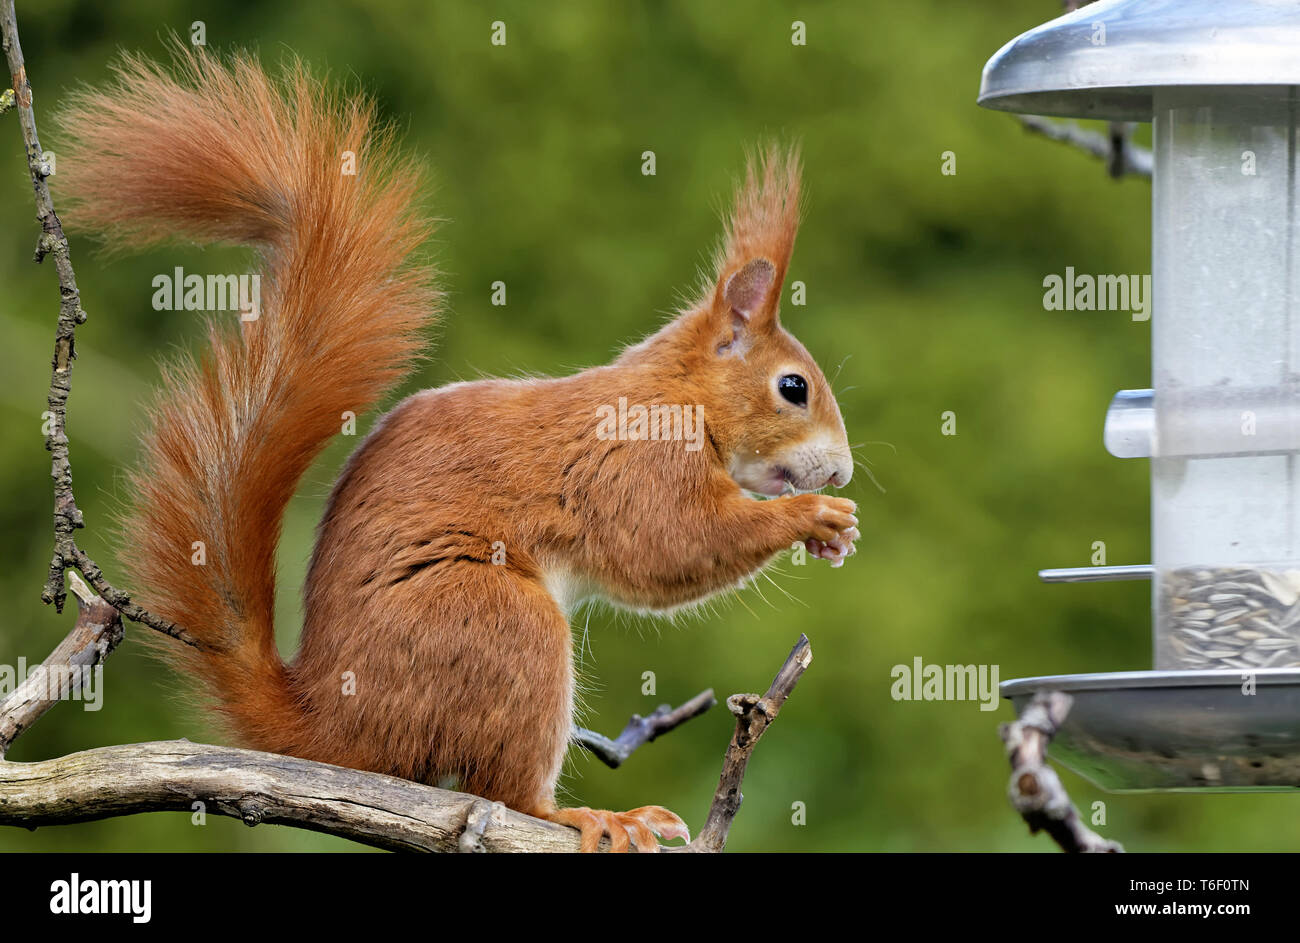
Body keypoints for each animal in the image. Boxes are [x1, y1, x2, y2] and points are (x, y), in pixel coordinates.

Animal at [54, 48, 859, 852]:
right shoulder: (634, 463)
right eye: (793, 387)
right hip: (500, 623)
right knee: (503, 787)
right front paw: (815, 516)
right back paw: (587, 815)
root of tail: (333, 725)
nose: (844, 469)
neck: (677, 396)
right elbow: (670, 545)